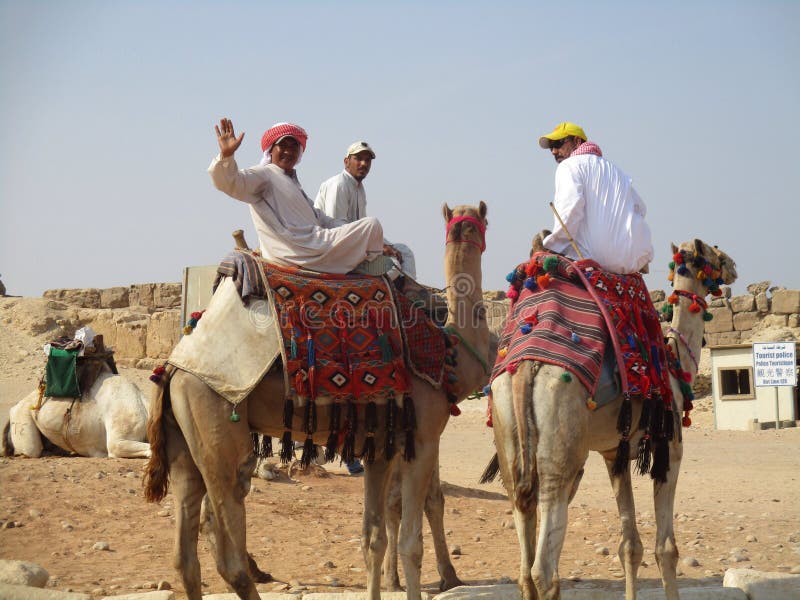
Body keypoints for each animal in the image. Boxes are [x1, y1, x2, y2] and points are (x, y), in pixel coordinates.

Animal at [143, 201, 491, 600]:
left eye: (475, 222)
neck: (448, 350)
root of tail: (173, 368)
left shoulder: (380, 448)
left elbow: (373, 538)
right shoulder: (422, 437)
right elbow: (410, 542)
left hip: (185, 441)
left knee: (185, 554)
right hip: (215, 419)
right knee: (227, 546)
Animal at [489, 239, 737, 600]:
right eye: (714, 253)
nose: (732, 265)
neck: (676, 364)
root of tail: (525, 370)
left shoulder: (612, 455)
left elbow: (629, 546)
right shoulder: (669, 448)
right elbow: (666, 548)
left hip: (508, 433)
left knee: (524, 559)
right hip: (561, 449)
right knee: (543, 569)